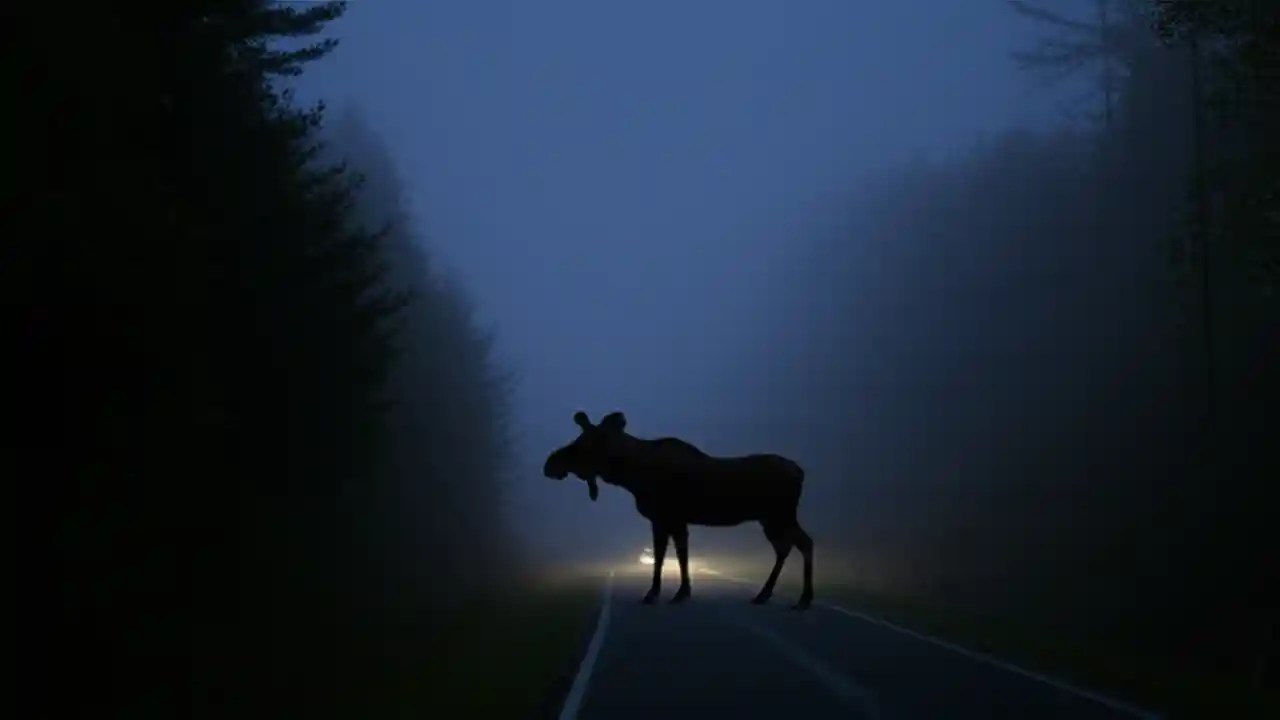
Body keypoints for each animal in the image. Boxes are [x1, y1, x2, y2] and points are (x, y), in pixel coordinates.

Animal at [543, 410, 814, 609]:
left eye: (581, 443)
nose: (550, 463)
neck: (634, 475)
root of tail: (801, 472)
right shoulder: (665, 520)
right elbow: (668, 555)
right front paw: (667, 592)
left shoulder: (671, 517)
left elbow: (674, 555)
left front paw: (670, 593)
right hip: (770, 519)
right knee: (787, 546)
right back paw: (766, 594)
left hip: (780, 515)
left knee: (802, 543)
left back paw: (803, 598)